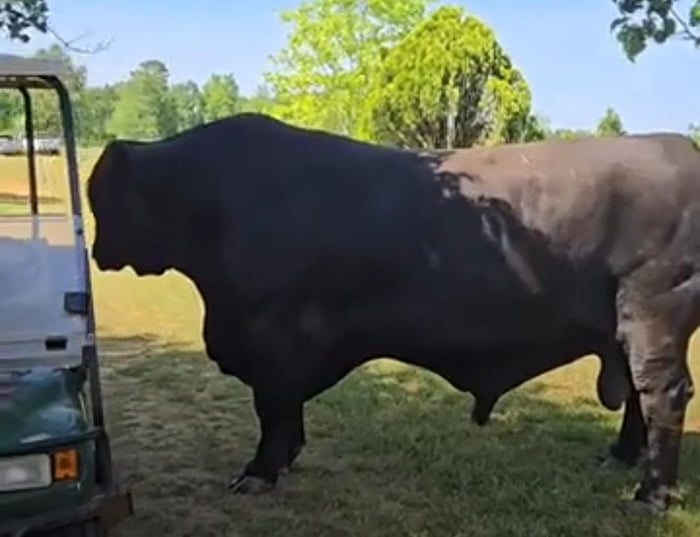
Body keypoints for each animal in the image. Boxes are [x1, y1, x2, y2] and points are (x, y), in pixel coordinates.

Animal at [87, 112, 700, 513]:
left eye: (100, 198)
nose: (95, 251)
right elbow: (285, 410)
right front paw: (284, 460)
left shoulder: (272, 335)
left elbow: (273, 408)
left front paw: (259, 473)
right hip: (626, 327)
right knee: (638, 395)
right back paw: (619, 461)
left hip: (654, 311)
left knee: (662, 392)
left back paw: (652, 496)